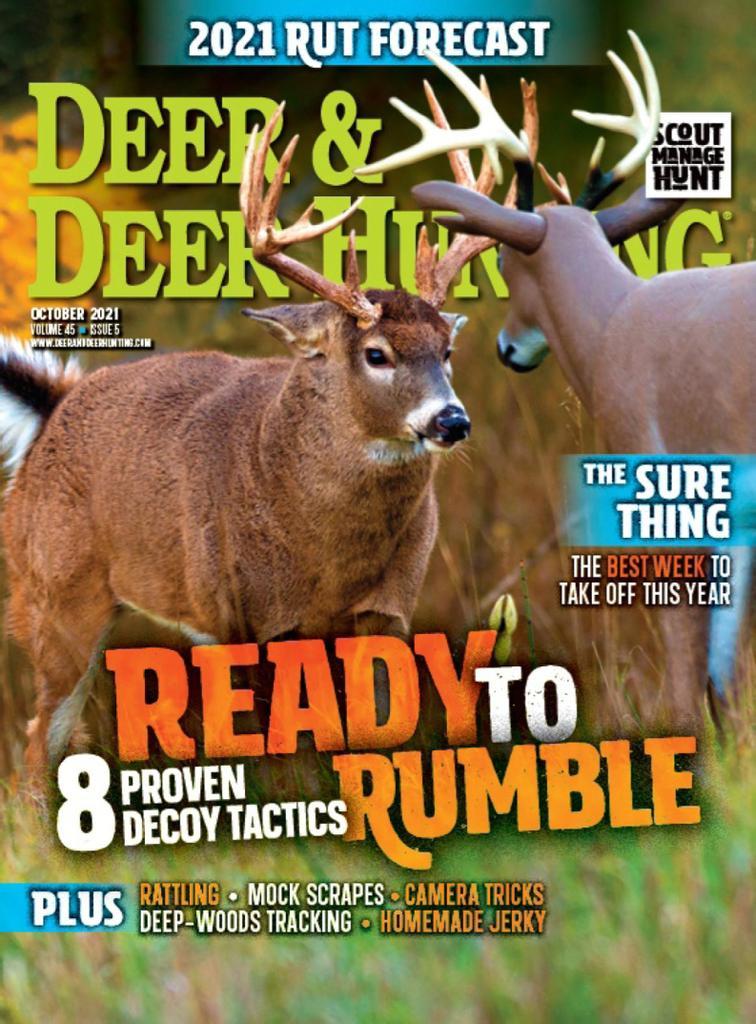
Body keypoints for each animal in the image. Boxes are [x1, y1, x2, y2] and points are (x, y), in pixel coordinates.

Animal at [0, 101, 505, 778]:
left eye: (446, 350)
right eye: (376, 353)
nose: (452, 421)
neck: (331, 555)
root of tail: (55, 408)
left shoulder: (389, 605)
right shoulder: (258, 615)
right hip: (54, 594)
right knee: (37, 741)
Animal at [359, 32, 756, 727]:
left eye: (502, 261)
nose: (506, 348)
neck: (612, 322)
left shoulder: (658, 473)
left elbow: (692, 652)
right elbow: (727, 671)